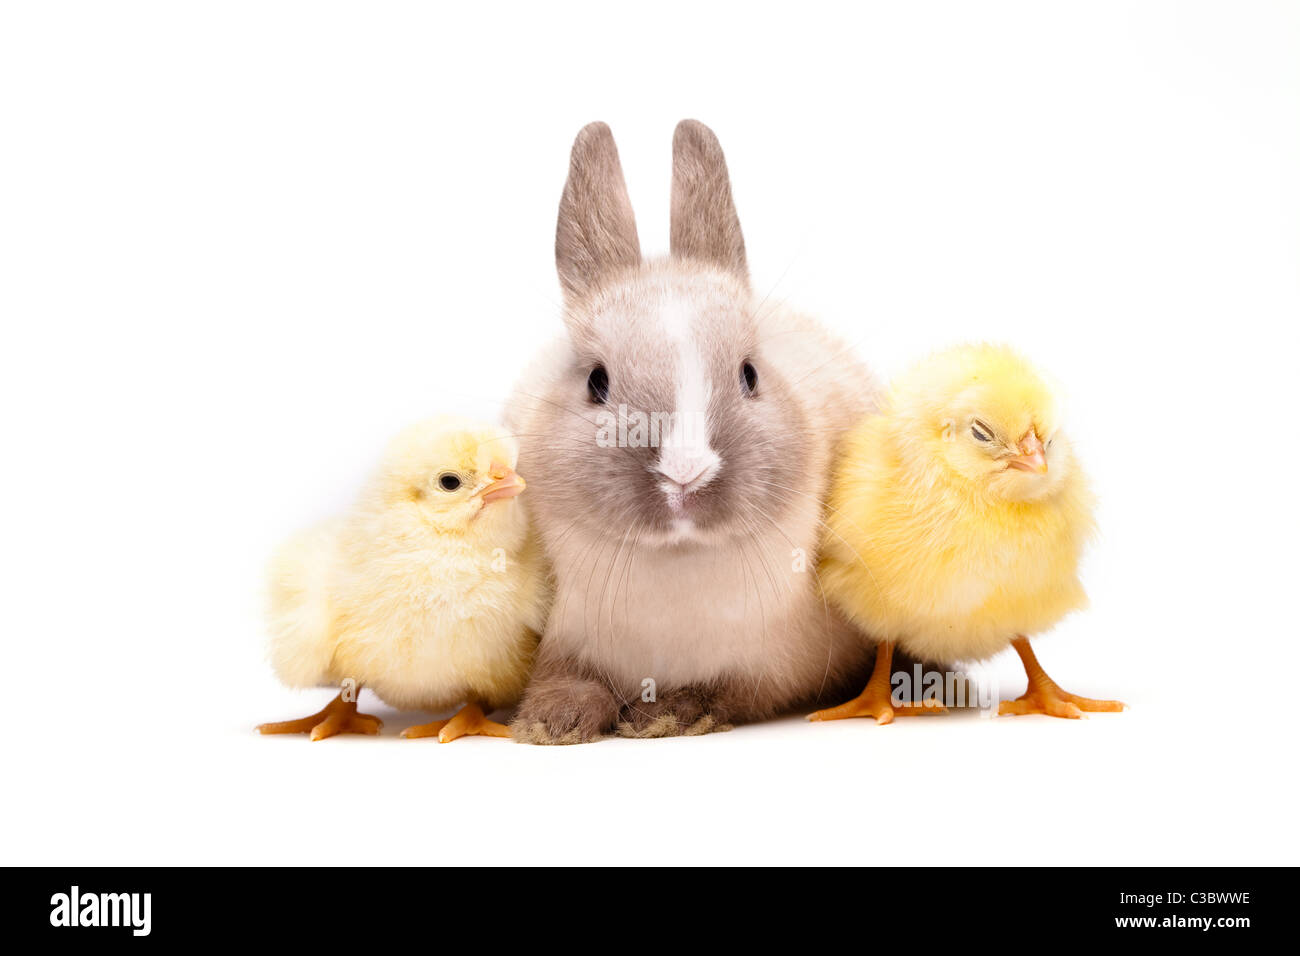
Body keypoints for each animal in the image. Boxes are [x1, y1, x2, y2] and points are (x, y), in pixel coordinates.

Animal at [506, 119, 880, 743]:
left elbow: (722, 692)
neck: (676, 557)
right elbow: (567, 678)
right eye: (597, 381)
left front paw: (666, 715)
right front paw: (553, 722)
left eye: (750, 374)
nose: (686, 474)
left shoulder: (769, 670)